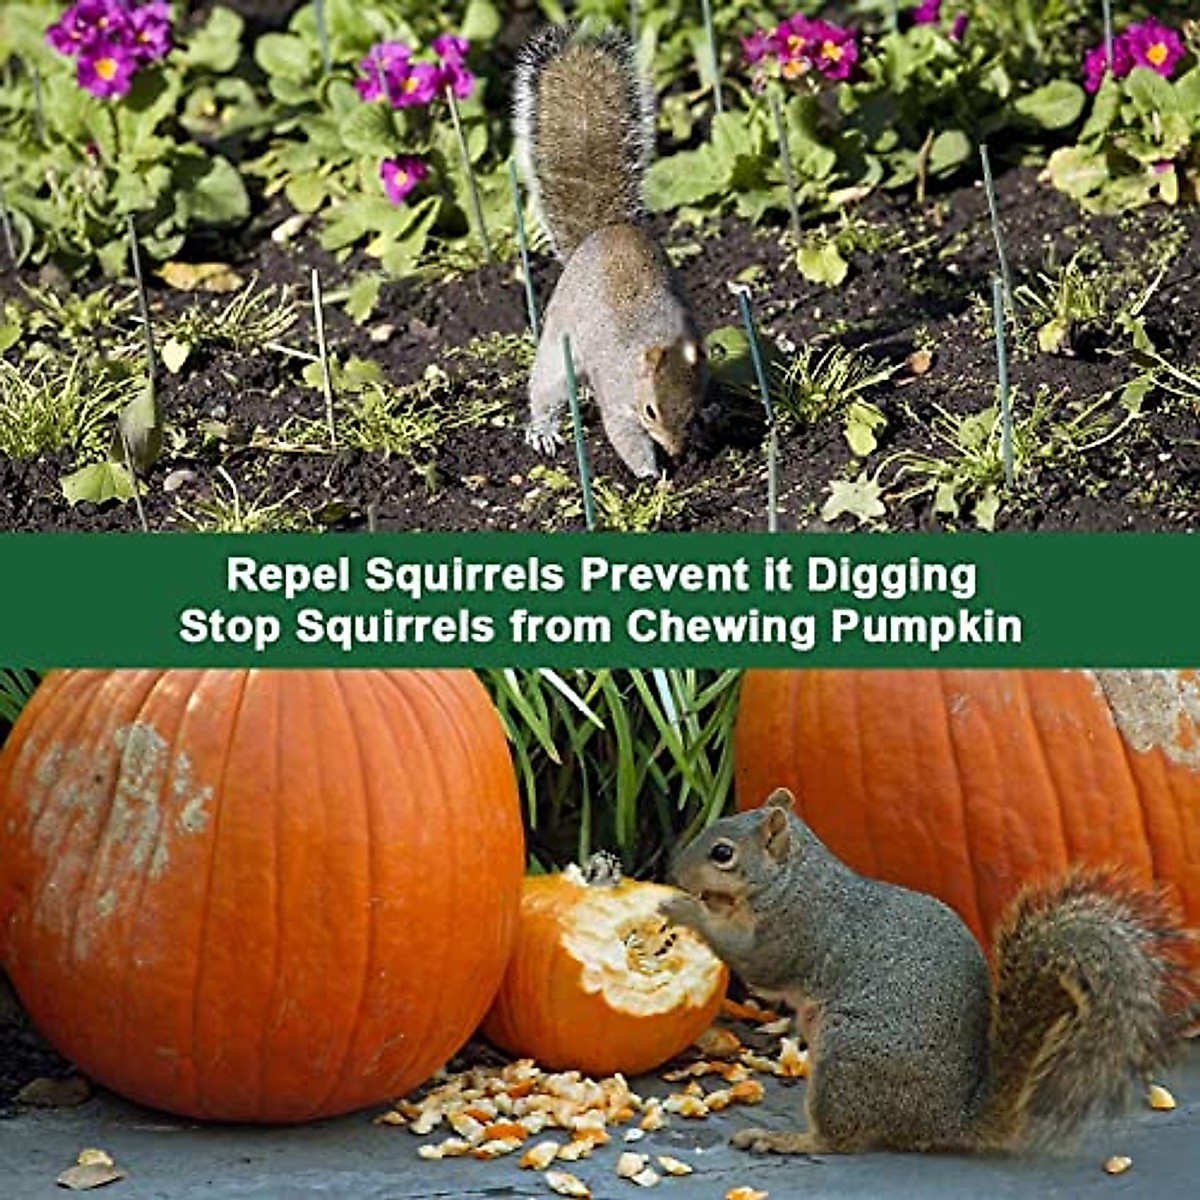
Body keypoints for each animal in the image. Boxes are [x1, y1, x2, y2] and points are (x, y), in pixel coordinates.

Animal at [513, 24, 706, 479]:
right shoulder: (617, 395)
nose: (675, 451)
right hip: (557, 350)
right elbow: (624, 437)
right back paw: (543, 429)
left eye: (691, 407)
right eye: (650, 411)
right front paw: (651, 475)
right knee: (545, 387)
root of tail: (604, 232)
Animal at [660, 787, 1197, 1155]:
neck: (795, 878)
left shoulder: (796, 931)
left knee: (839, 1140)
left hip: (849, 1055)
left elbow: (756, 963)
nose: (672, 870)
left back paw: (784, 1139)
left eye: (723, 853)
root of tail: (946, 1120)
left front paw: (683, 909)